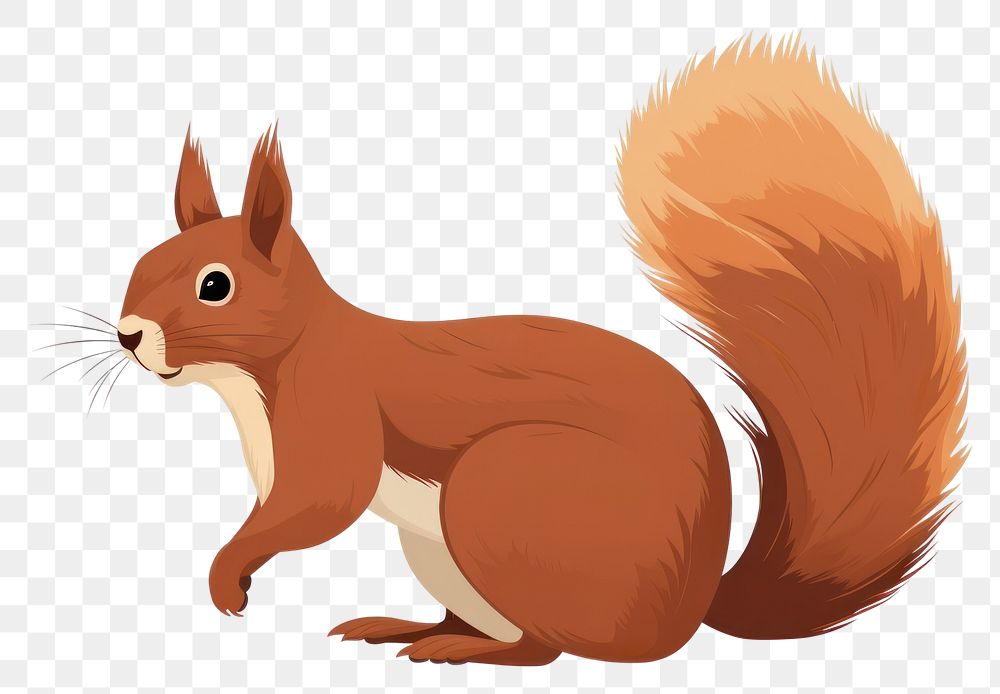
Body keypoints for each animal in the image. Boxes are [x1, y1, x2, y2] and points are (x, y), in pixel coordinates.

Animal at [116, 37, 966, 665]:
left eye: (216, 285)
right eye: (143, 264)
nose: (127, 334)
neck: (259, 377)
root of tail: (692, 607)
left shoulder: (335, 415)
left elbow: (317, 504)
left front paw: (228, 575)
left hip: (506, 497)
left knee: (544, 649)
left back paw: (461, 652)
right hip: (445, 547)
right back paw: (413, 629)